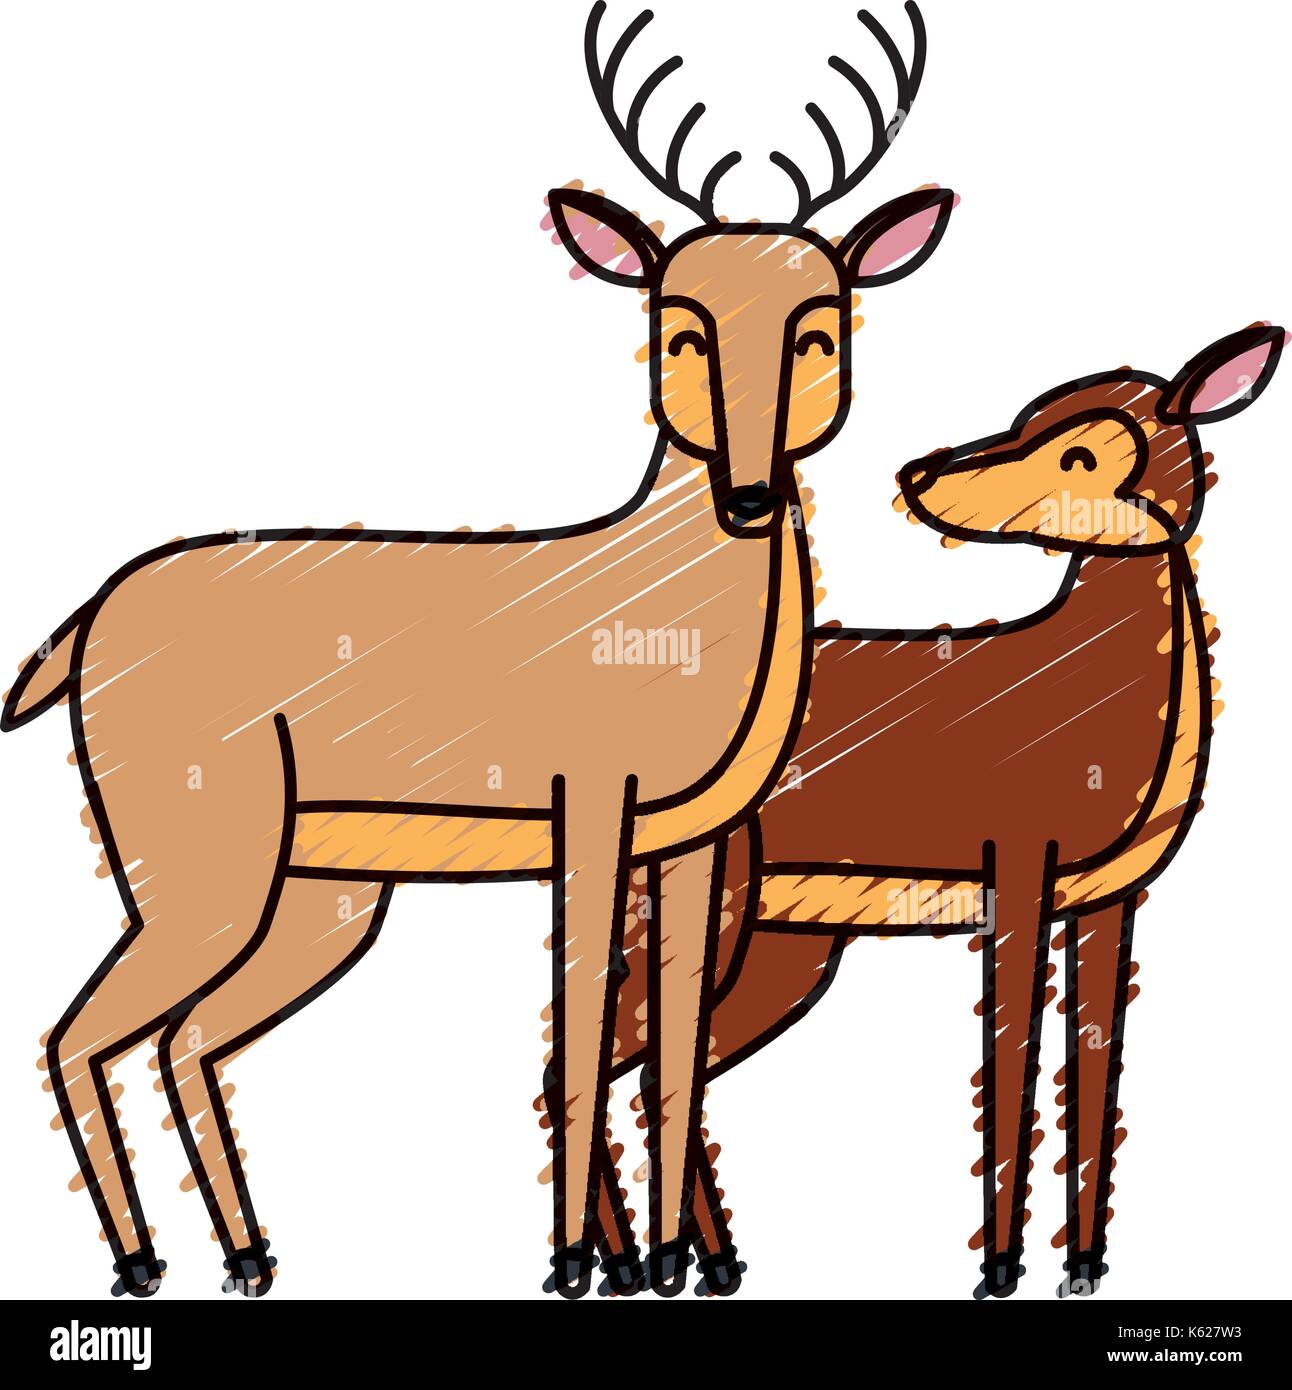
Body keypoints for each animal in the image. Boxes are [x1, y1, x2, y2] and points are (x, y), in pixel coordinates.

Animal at [2, 0, 957, 1299]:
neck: (667, 601)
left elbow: (675, 1046)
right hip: (204, 873)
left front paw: (668, 1262)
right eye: (678, 328)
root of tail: (89, 617)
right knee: (81, 1032)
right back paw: (145, 1264)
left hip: (322, 898)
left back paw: (249, 1255)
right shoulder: (587, 812)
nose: (751, 494)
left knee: (182, 1039)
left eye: (819, 326)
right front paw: (573, 1264)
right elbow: (578, 1020)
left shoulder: (690, 839)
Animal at [578, 323, 1285, 1297]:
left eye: (1077, 450)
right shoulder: (1017, 872)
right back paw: (636, 1266)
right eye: (1028, 419)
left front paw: (1083, 1269)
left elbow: (1094, 1065)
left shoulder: (1109, 899)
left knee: (657, 1074)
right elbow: (1012, 1058)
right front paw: (999, 1271)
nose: (919, 475)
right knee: (597, 1064)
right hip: (714, 924)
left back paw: (704, 1267)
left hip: (784, 948)